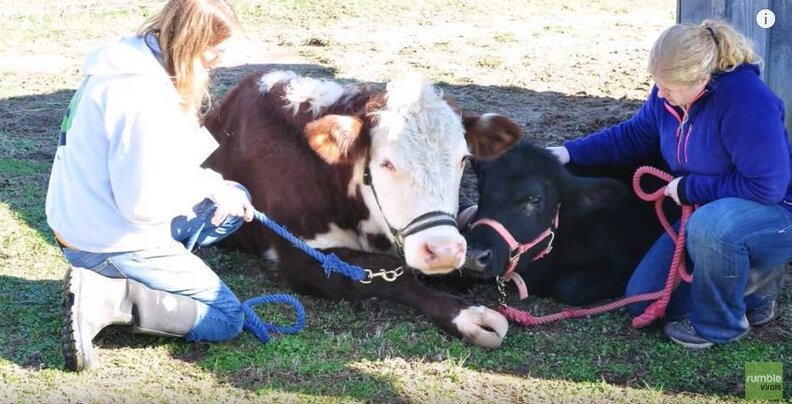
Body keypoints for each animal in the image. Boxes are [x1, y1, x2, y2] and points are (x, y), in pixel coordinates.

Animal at [202, 70, 522, 348]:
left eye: (463, 159)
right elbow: (389, 277)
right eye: (386, 163)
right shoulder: (298, 256)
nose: (443, 251)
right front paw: (469, 317)